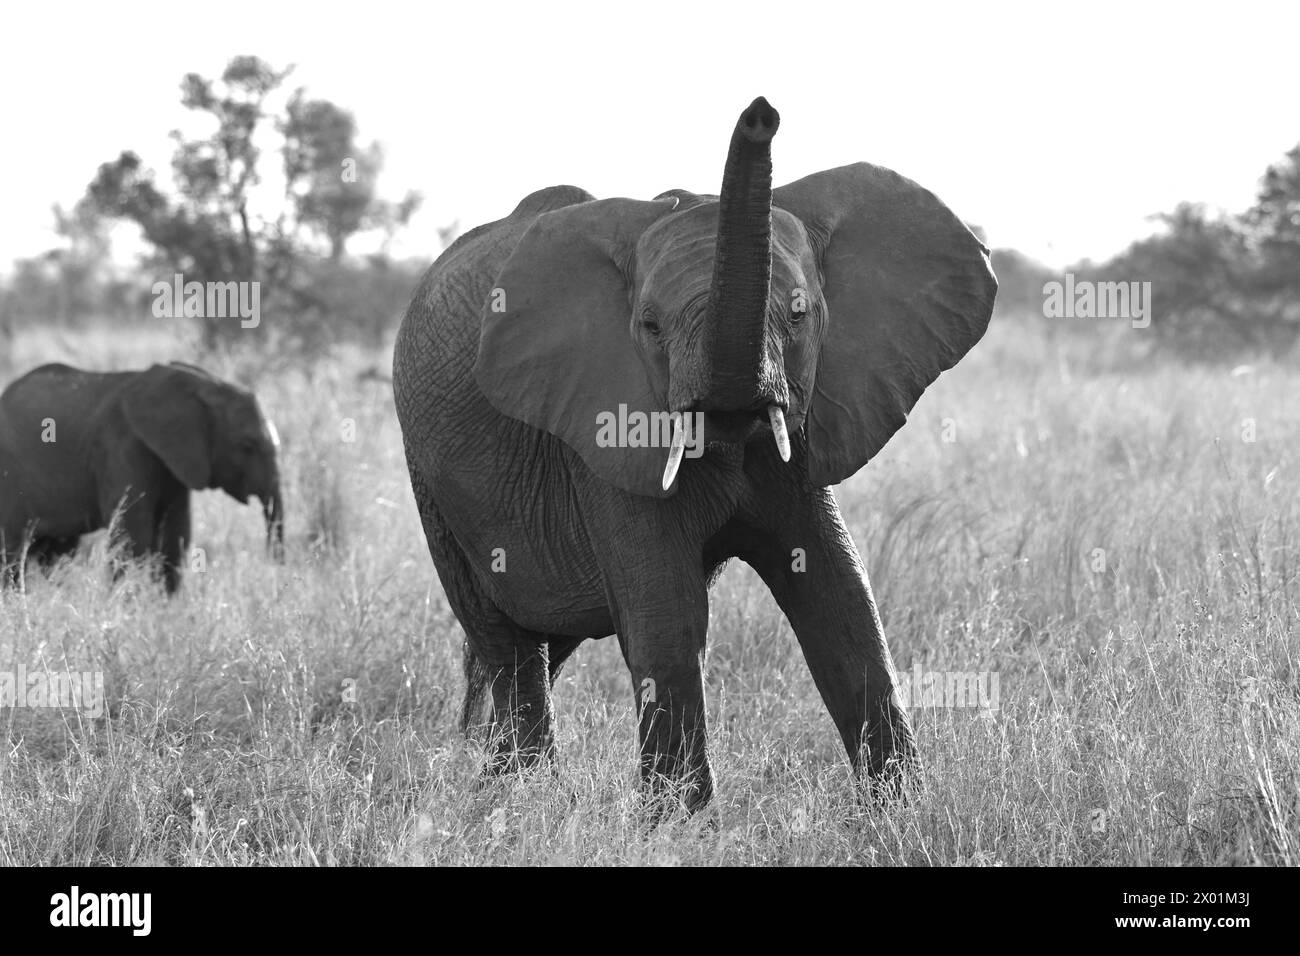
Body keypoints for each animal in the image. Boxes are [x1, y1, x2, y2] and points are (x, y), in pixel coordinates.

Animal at [0, 361, 284, 592]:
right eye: (247, 445)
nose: (274, 569)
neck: (201, 383)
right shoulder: (121, 449)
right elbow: (132, 536)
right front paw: (126, 606)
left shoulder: (175, 461)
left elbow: (175, 532)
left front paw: (165, 607)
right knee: (13, 550)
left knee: (57, 552)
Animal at [393, 97, 996, 813]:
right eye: (650, 326)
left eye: (800, 313)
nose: (761, 112)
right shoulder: (604, 426)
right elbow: (668, 615)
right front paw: (680, 823)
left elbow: (841, 596)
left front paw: (901, 816)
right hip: (430, 478)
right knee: (507, 644)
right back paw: (517, 799)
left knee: (542, 644)